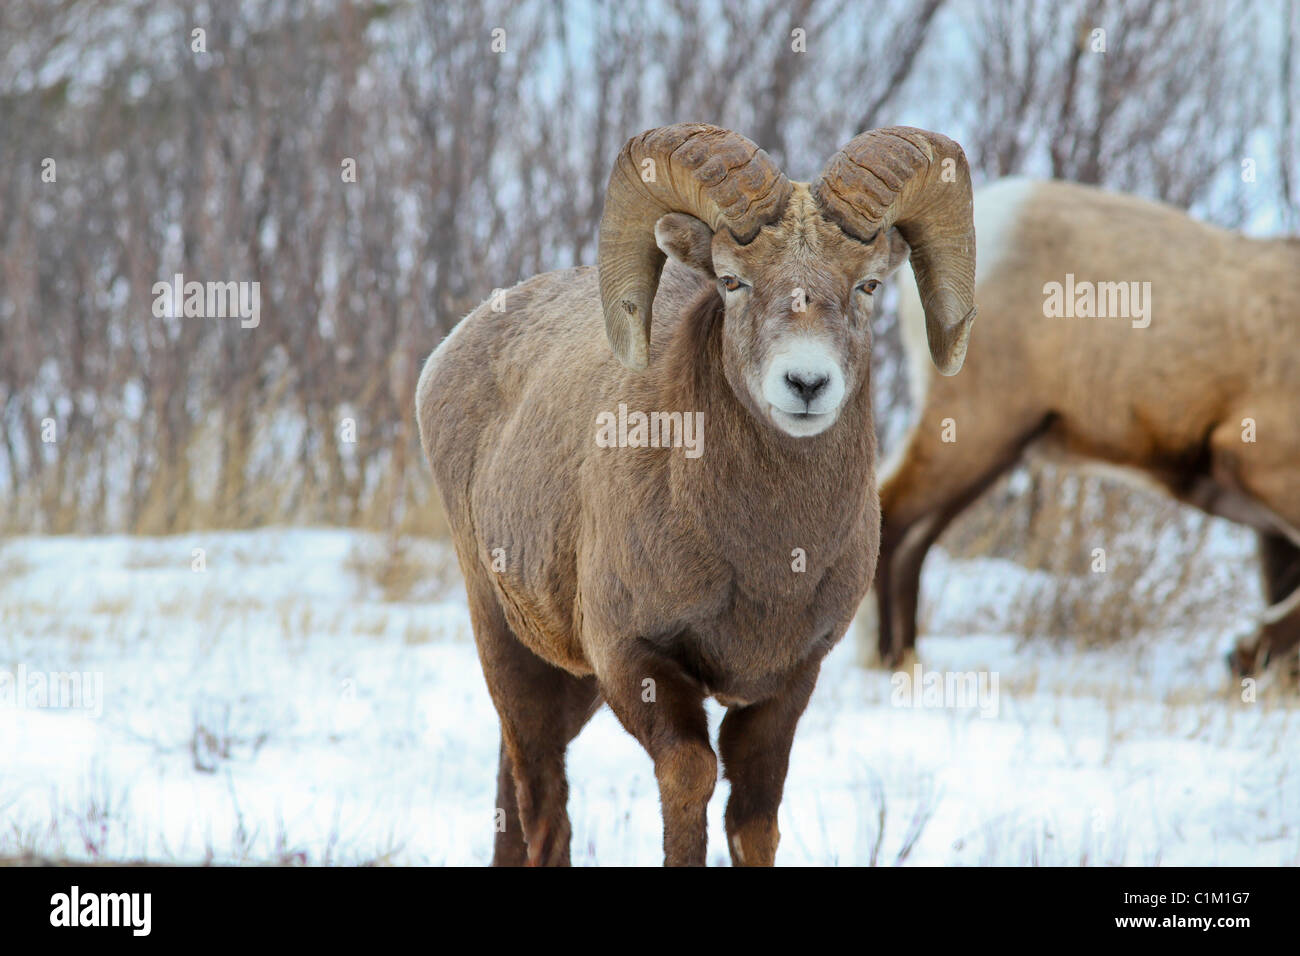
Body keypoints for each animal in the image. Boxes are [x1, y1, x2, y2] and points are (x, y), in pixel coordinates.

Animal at [416, 123, 977, 866]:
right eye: (734, 281)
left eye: (867, 285)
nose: (806, 383)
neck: (770, 563)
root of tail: (450, 352)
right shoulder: (635, 659)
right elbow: (690, 778)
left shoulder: (788, 682)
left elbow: (755, 818)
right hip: (508, 646)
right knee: (543, 809)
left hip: (571, 683)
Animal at [866, 177, 1300, 676]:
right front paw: (1245, 655)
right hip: (978, 431)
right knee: (895, 517)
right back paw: (888, 658)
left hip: (993, 451)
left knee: (918, 539)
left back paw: (907, 656)